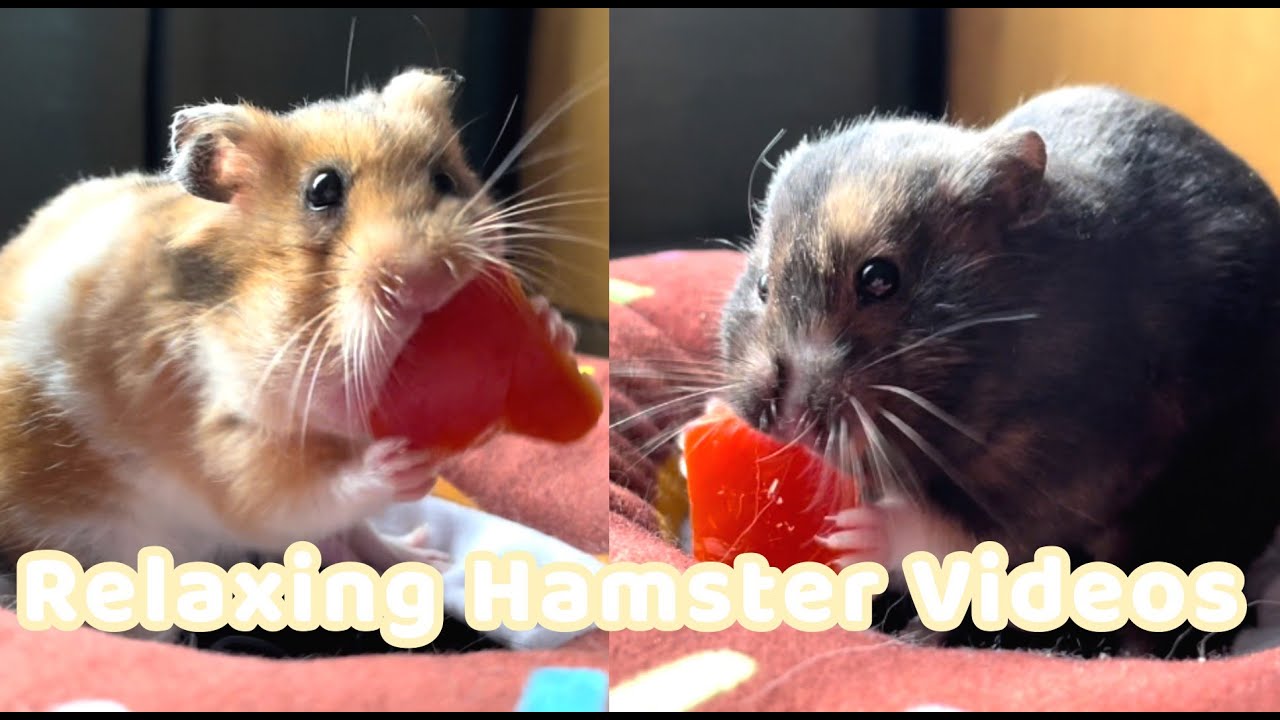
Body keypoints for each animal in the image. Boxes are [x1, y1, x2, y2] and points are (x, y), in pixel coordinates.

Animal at [0, 68, 575, 642]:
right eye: (322, 191)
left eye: (445, 178)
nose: (428, 281)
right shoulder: (226, 444)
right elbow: (296, 492)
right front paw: (404, 465)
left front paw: (554, 325)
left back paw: (425, 556)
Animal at [718, 84, 1280, 658]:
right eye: (762, 286)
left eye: (879, 278)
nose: (784, 419)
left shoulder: (1077, 471)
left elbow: (977, 537)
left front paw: (853, 534)